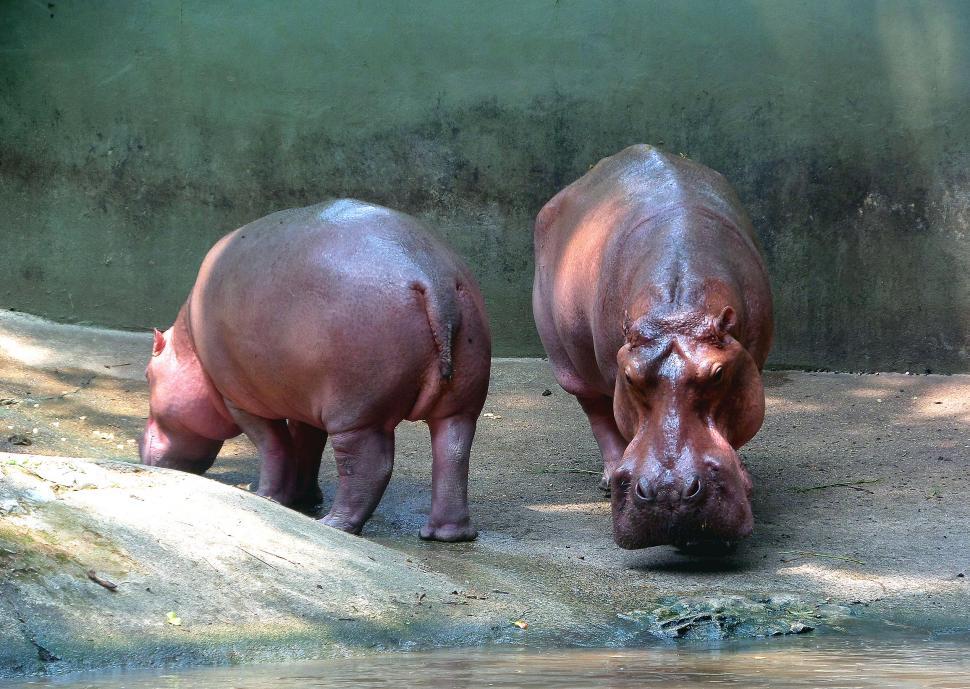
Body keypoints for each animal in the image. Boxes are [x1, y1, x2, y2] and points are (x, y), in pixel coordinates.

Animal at [140, 199, 490, 542]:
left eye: (147, 375)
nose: (140, 448)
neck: (190, 344)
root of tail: (432, 276)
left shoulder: (240, 401)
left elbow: (275, 447)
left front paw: (265, 496)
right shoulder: (305, 403)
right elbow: (306, 446)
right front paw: (301, 499)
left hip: (357, 414)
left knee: (369, 465)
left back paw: (334, 523)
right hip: (460, 403)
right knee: (453, 452)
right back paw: (445, 534)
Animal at [532, 145, 773, 550]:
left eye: (718, 373)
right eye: (629, 377)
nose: (669, 493)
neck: (677, 313)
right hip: (567, 364)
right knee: (596, 412)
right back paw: (607, 477)